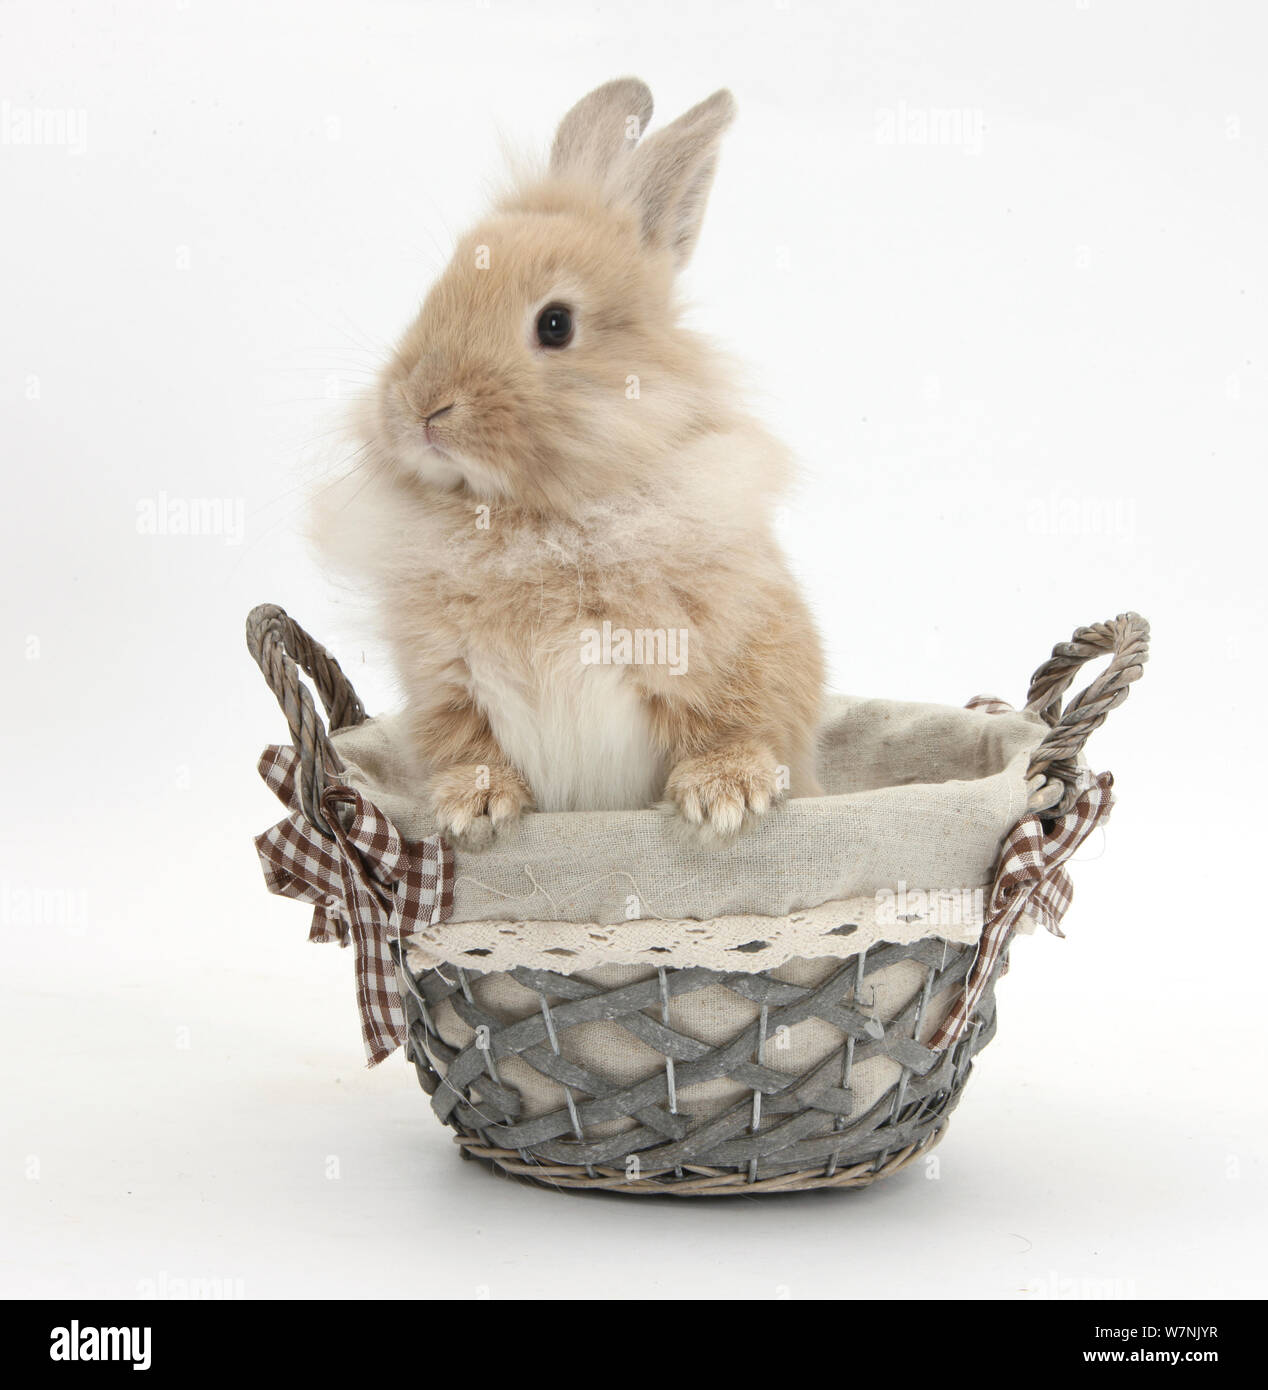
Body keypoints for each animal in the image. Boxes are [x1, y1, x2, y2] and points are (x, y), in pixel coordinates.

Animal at [311, 77, 825, 847]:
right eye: (434, 296)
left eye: (556, 324)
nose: (423, 406)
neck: (527, 518)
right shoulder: (448, 686)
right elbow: (464, 747)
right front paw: (473, 808)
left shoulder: (730, 647)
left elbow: (737, 720)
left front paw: (725, 795)